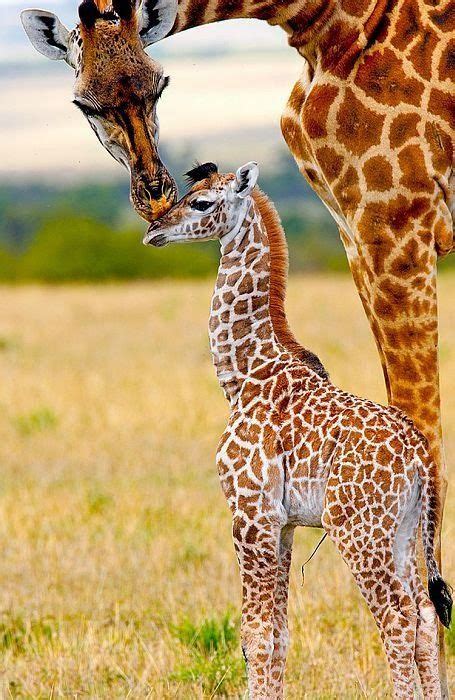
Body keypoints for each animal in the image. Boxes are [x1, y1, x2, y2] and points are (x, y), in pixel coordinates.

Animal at [143, 160, 452, 699]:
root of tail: (419, 453)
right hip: (405, 530)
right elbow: (281, 634)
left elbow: (255, 635)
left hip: (358, 532)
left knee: (396, 620)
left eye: (201, 202)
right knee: (425, 616)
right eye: (186, 192)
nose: (153, 230)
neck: (243, 374)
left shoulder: (251, 513)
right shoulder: (283, 522)